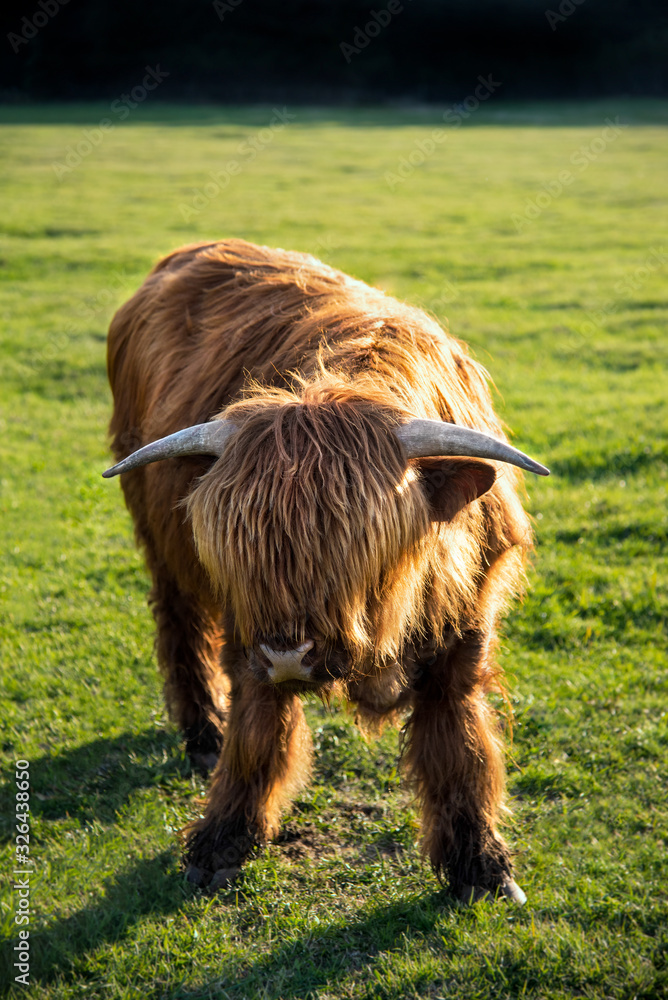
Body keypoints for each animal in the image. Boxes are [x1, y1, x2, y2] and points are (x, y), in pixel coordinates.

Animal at [104, 238, 548, 903]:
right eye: (243, 546)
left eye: (357, 544)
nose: (289, 653)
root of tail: (188, 251)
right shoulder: (247, 635)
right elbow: (258, 734)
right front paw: (219, 845)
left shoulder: (465, 628)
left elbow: (460, 744)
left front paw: (480, 865)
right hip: (159, 539)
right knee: (179, 620)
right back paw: (204, 734)